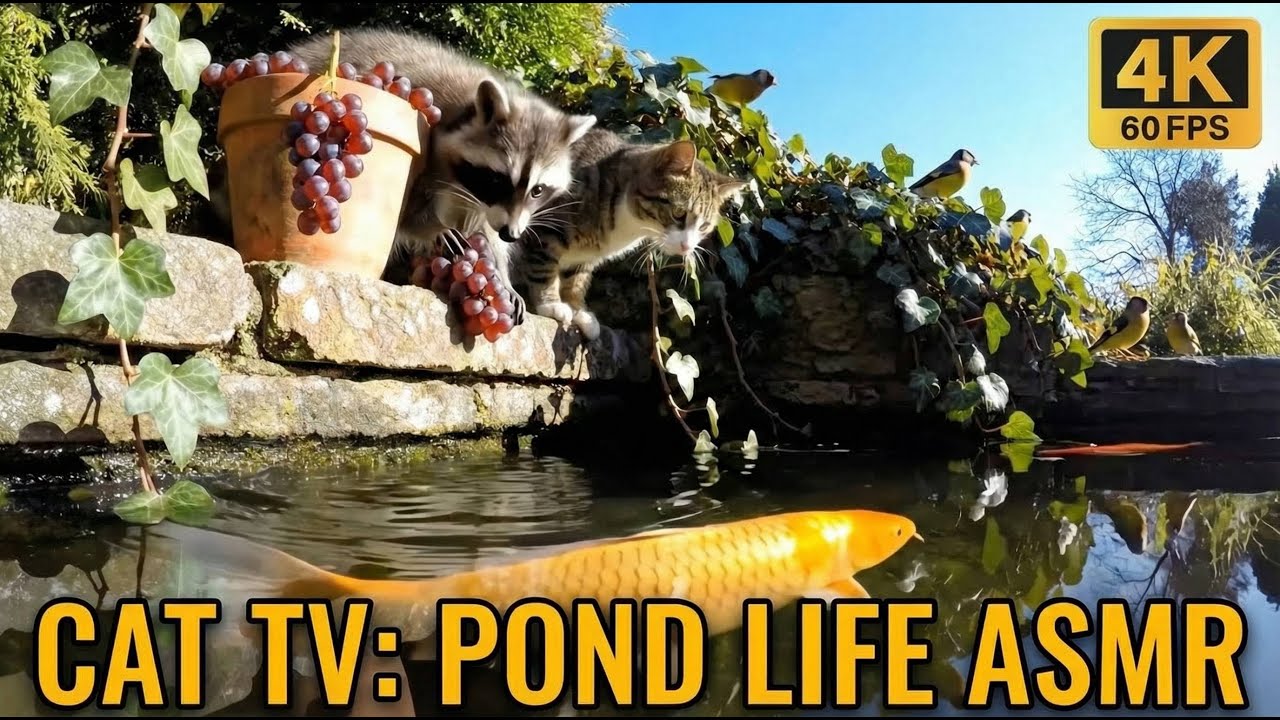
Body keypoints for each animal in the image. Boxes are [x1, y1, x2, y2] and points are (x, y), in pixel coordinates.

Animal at [510, 129, 747, 341]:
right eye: (679, 214)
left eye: (704, 226)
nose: (687, 247)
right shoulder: (547, 227)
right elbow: (543, 266)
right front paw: (550, 304)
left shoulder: (584, 256)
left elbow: (576, 280)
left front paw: (578, 310)